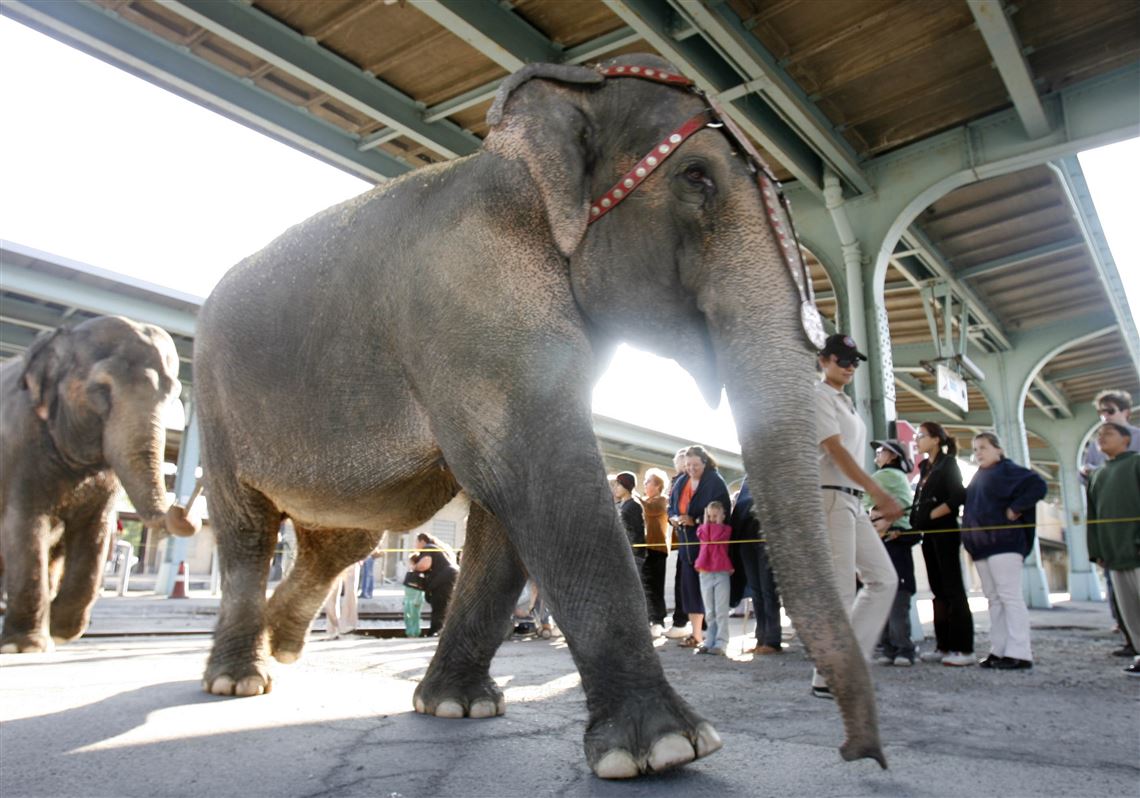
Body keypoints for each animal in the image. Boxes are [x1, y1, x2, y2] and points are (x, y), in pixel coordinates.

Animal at [0, 315, 198, 653]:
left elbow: (96, 531)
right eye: (101, 388)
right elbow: (25, 524)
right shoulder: (19, 442)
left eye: (172, 395)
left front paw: (61, 633)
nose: (184, 511)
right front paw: (24, 647)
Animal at [192, 54, 884, 778]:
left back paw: (280, 649)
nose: (860, 753)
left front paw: (459, 706)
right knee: (248, 530)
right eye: (697, 177)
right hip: (214, 396)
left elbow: (504, 512)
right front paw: (666, 749)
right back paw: (240, 679)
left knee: (341, 539)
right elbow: (537, 475)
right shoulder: (471, 295)